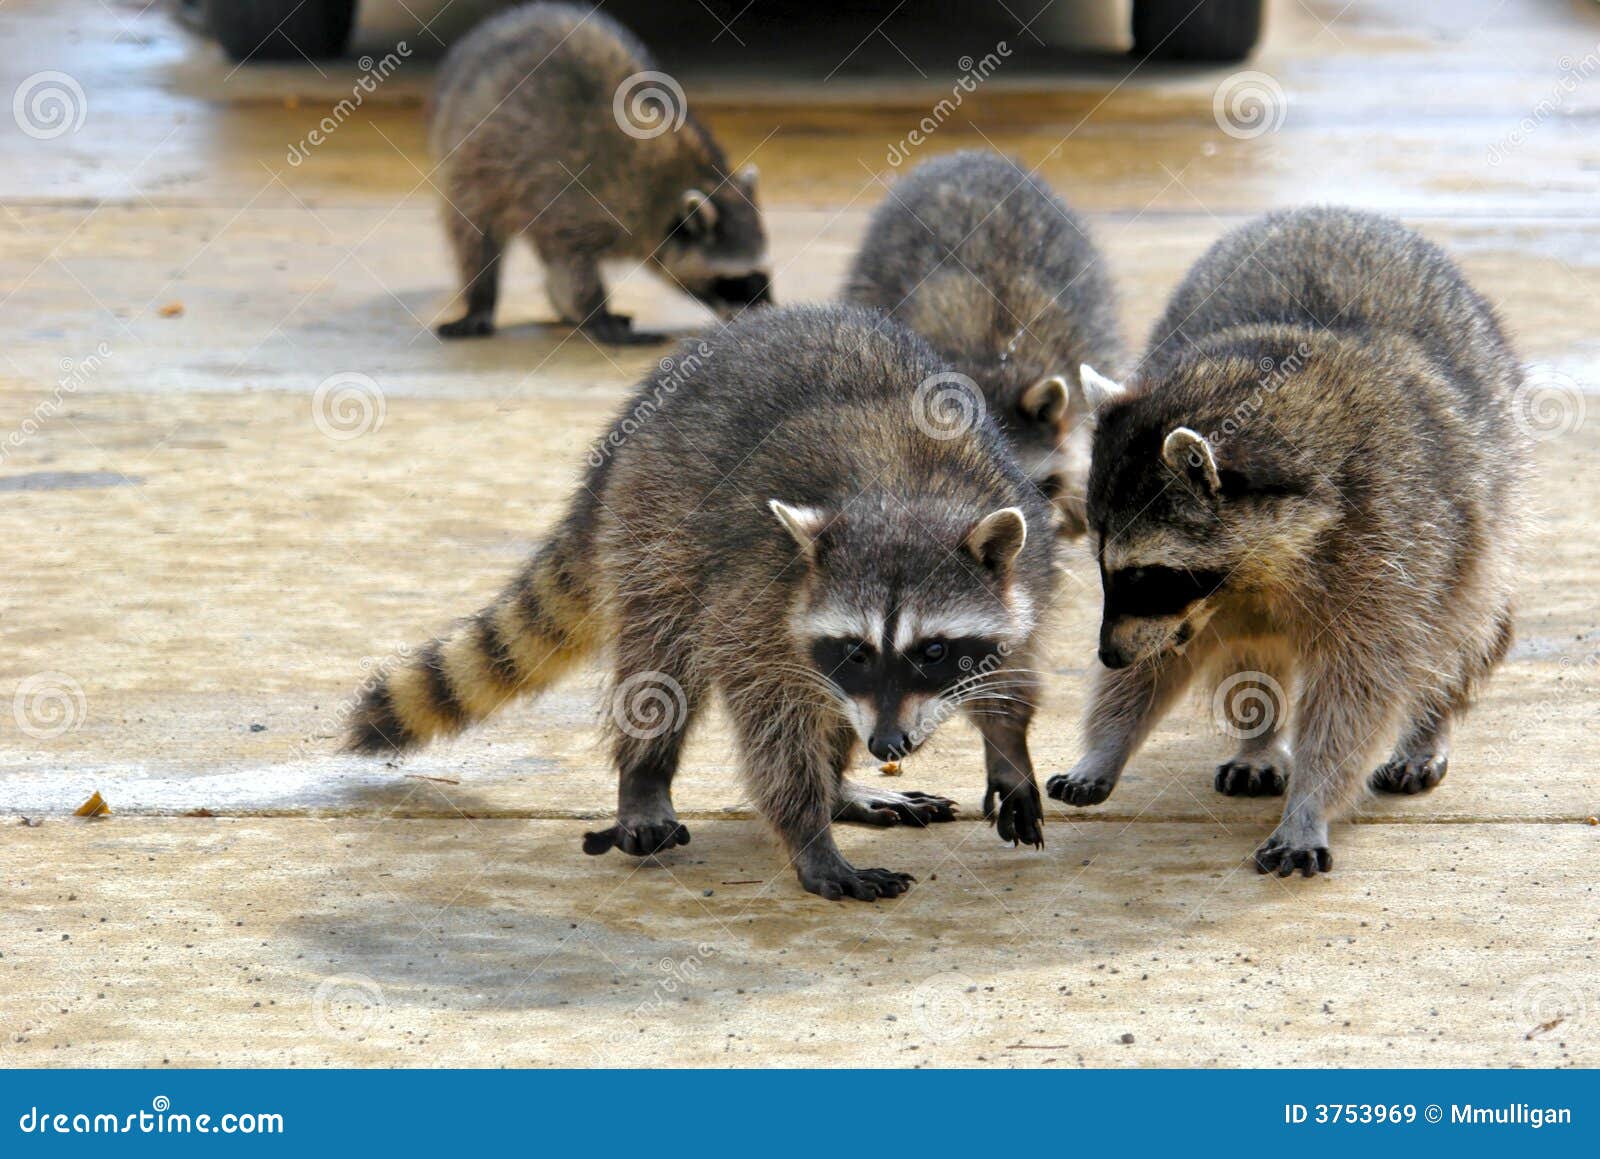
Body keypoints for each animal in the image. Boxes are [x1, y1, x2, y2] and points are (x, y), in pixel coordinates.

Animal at [345, 304, 1057, 900]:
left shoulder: (1027, 560)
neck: (904, 492)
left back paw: (839, 786)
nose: (886, 744)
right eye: (853, 650)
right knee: (660, 659)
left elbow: (1012, 661)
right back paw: (649, 777)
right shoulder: (756, 589)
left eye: (932, 651)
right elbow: (766, 713)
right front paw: (808, 832)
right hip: (654, 520)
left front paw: (1007, 744)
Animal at [429, 2, 772, 344]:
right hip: (470, 159)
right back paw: (480, 298)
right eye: (738, 280)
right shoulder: (576, 196)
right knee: (472, 230)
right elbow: (571, 265)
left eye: (763, 274)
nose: (765, 315)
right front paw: (596, 313)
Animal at [1044, 207, 1524, 877]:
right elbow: (1164, 657)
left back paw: (1429, 722)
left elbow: (1361, 690)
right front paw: (1108, 743)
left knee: (1463, 626)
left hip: (1481, 522)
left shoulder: (1392, 548)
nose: (1108, 655)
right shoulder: (1189, 609)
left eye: (1145, 574)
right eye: (1104, 567)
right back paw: (1258, 740)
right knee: (1251, 654)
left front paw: (1311, 803)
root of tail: (1328, 212)